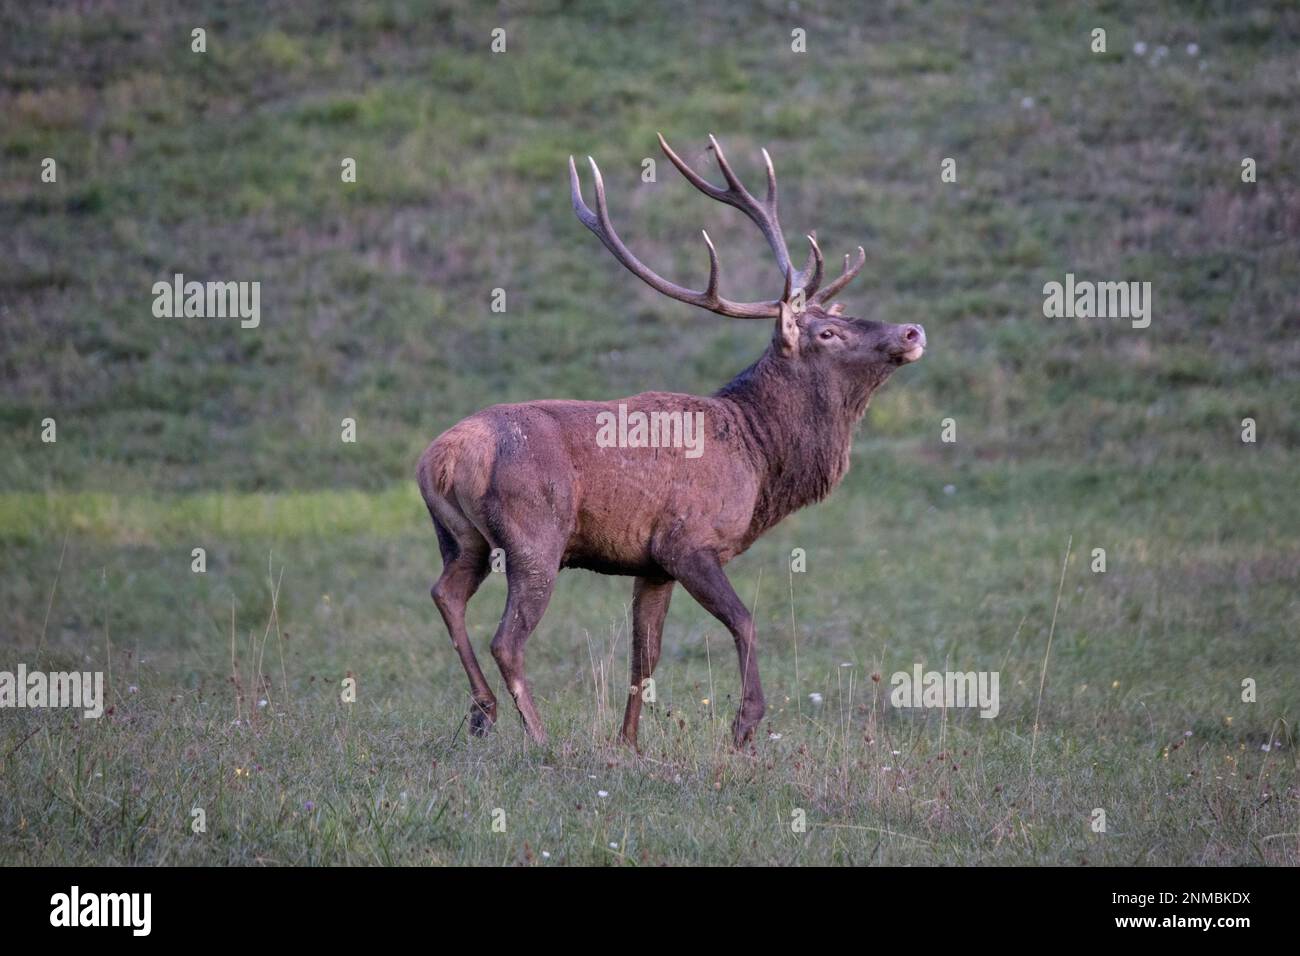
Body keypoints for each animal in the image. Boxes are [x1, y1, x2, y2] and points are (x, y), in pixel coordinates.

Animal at [417, 134, 926, 751]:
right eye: (826, 332)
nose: (911, 331)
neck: (759, 456)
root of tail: (441, 459)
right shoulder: (687, 542)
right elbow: (745, 619)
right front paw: (745, 725)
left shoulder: (651, 562)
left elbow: (645, 656)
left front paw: (629, 744)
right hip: (534, 534)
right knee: (507, 639)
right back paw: (539, 737)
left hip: (460, 538)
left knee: (446, 594)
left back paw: (482, 712)